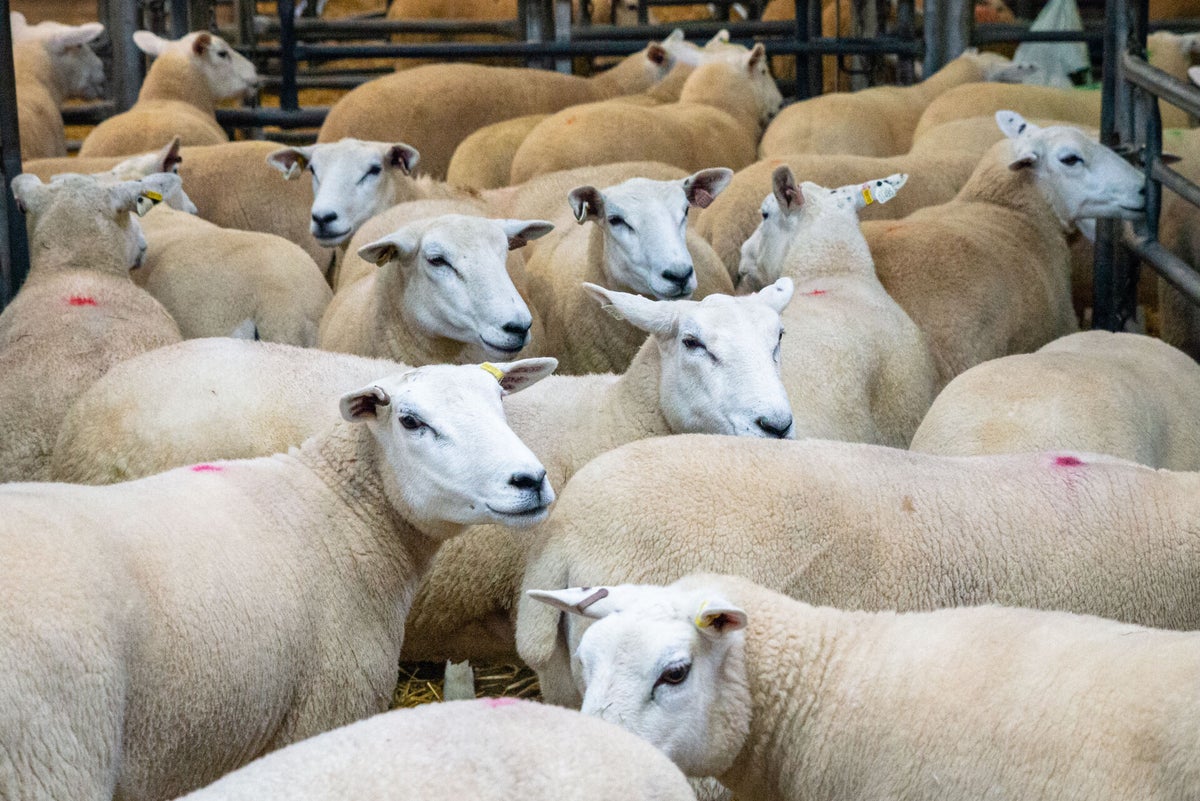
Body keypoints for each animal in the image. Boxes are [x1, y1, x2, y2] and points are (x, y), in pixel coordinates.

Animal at [0, 359, 556, 801]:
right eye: (411, 421)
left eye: (500, 403)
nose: (530, 480)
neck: (343, 510)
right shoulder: (328, 707)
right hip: (47, 760)